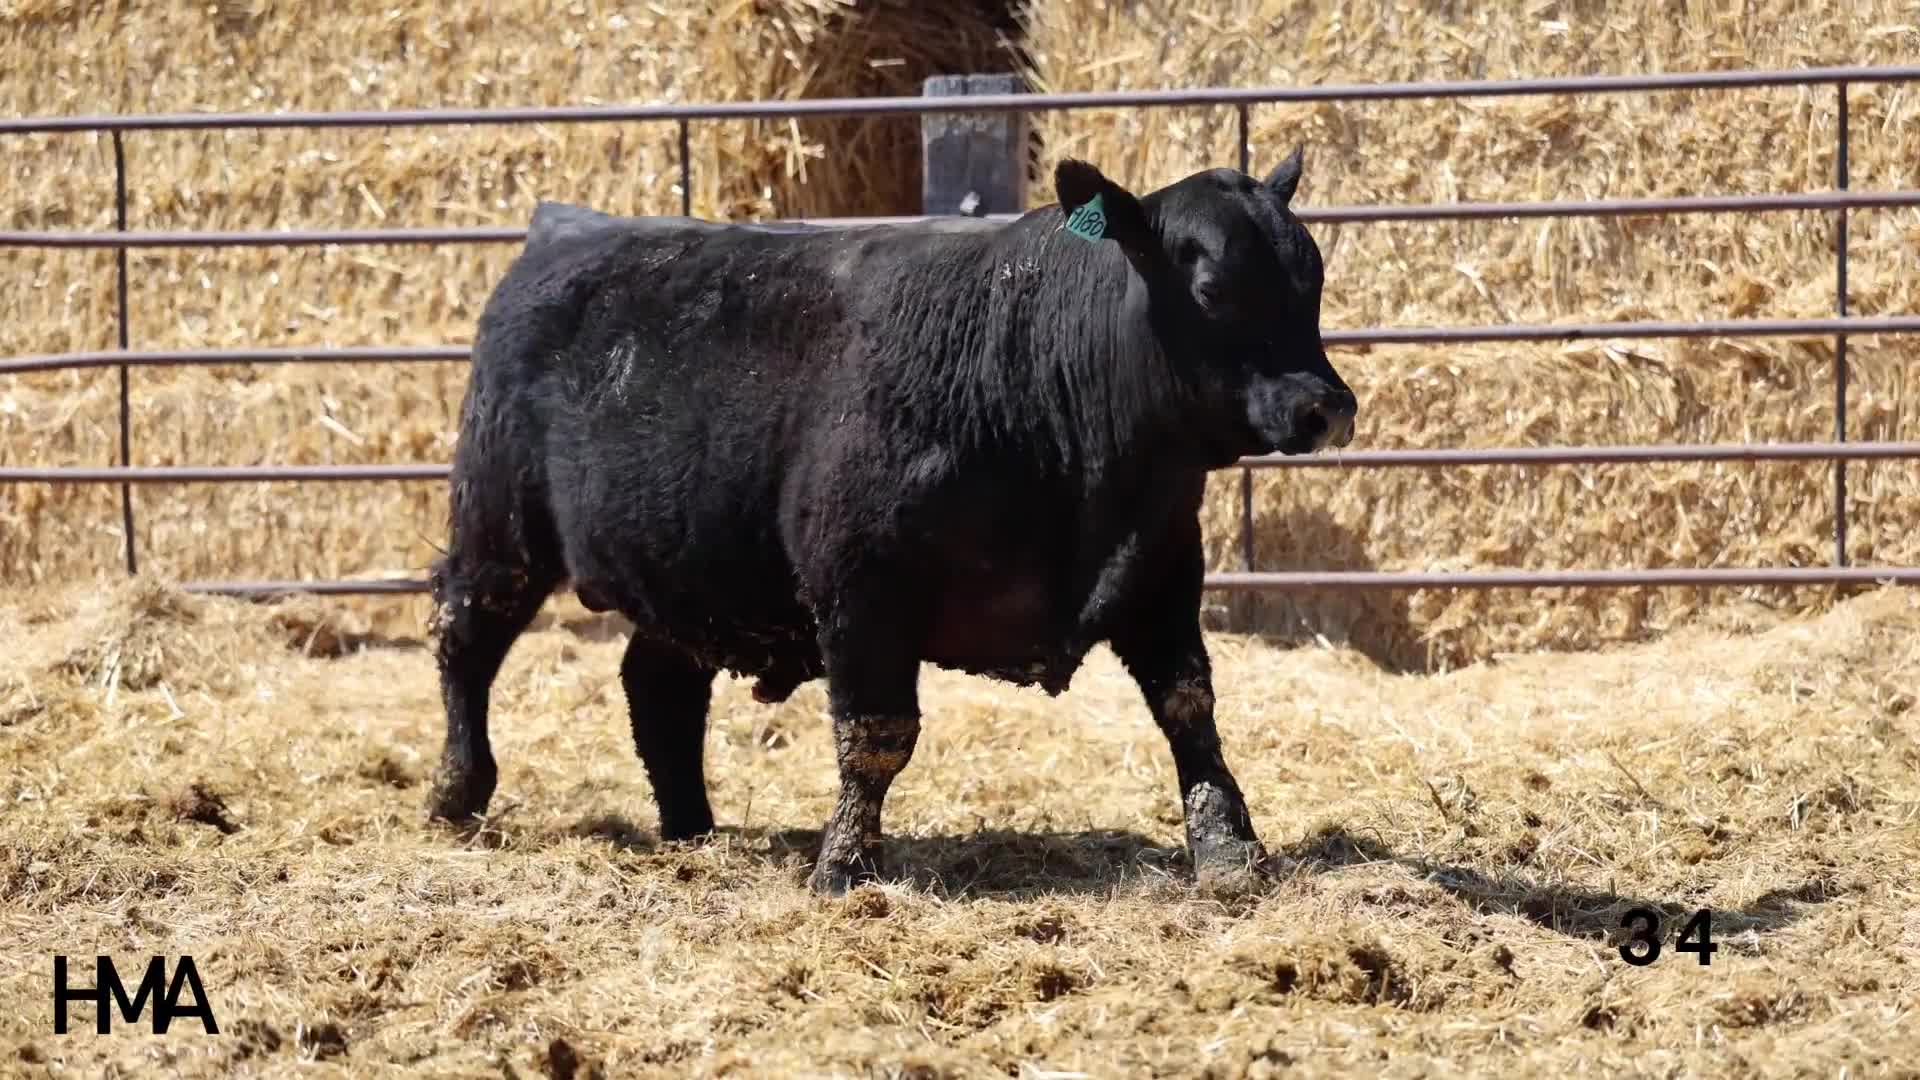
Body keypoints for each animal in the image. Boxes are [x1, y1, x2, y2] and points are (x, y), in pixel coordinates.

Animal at [425, 148, 1357, 895]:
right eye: (1213, 289)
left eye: (1310, 280)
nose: (1327, 408)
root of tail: (568, 229)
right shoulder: (861, 594)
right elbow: (876, 737)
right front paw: (845, 865)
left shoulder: (1161, 575)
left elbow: (1189, 712)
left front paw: (1229, 849)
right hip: (500, 528)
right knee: (465, 638)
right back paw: (456, 792)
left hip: (689, 567)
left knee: (658, 685)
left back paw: (691, 826)